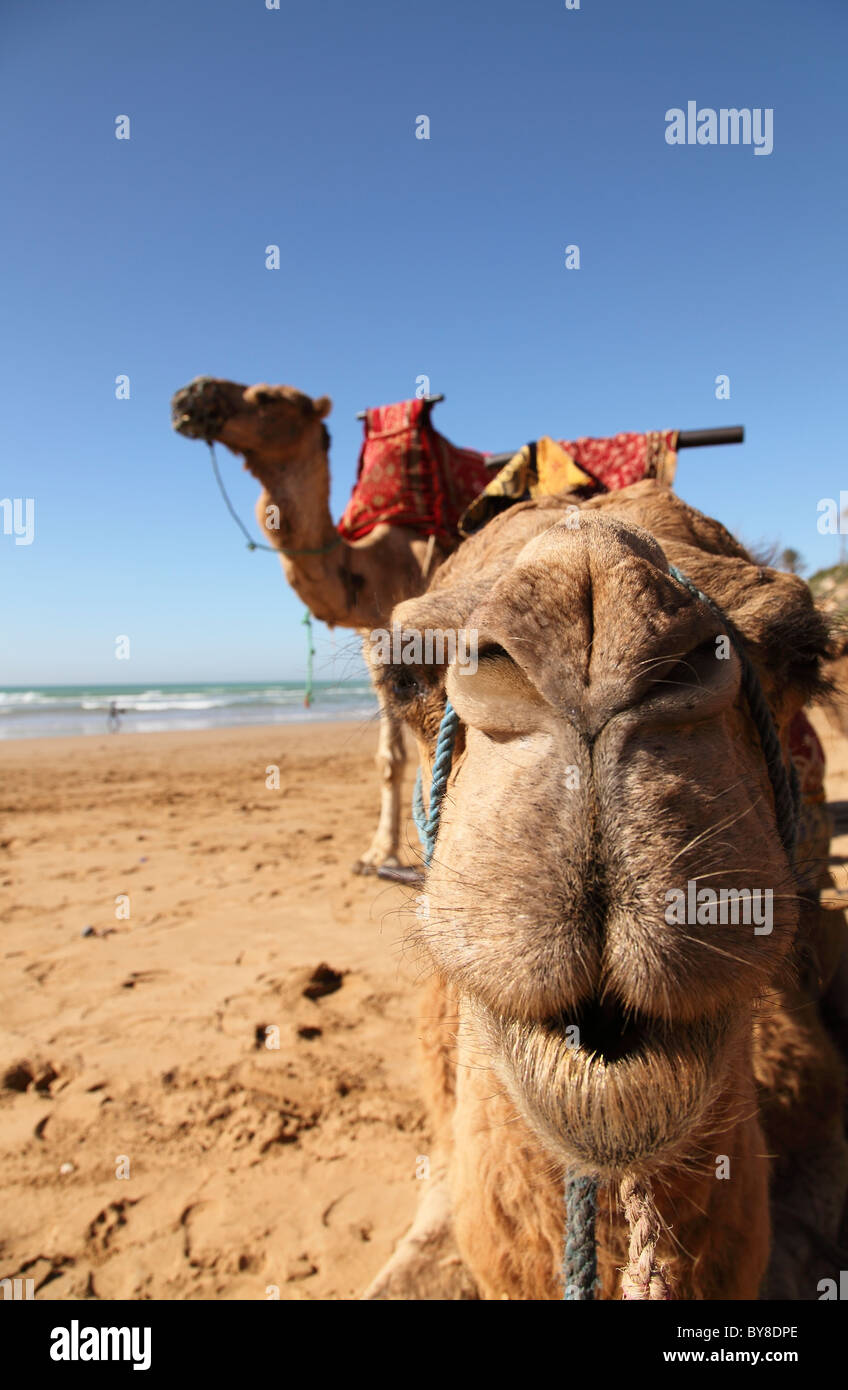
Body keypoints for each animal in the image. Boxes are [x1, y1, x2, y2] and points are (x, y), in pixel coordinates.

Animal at [171, 377, 455, 875]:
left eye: (267, 397)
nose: (188, 395)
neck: (373, 565)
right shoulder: (375, 642)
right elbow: (390, 757)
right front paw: (377, 853)